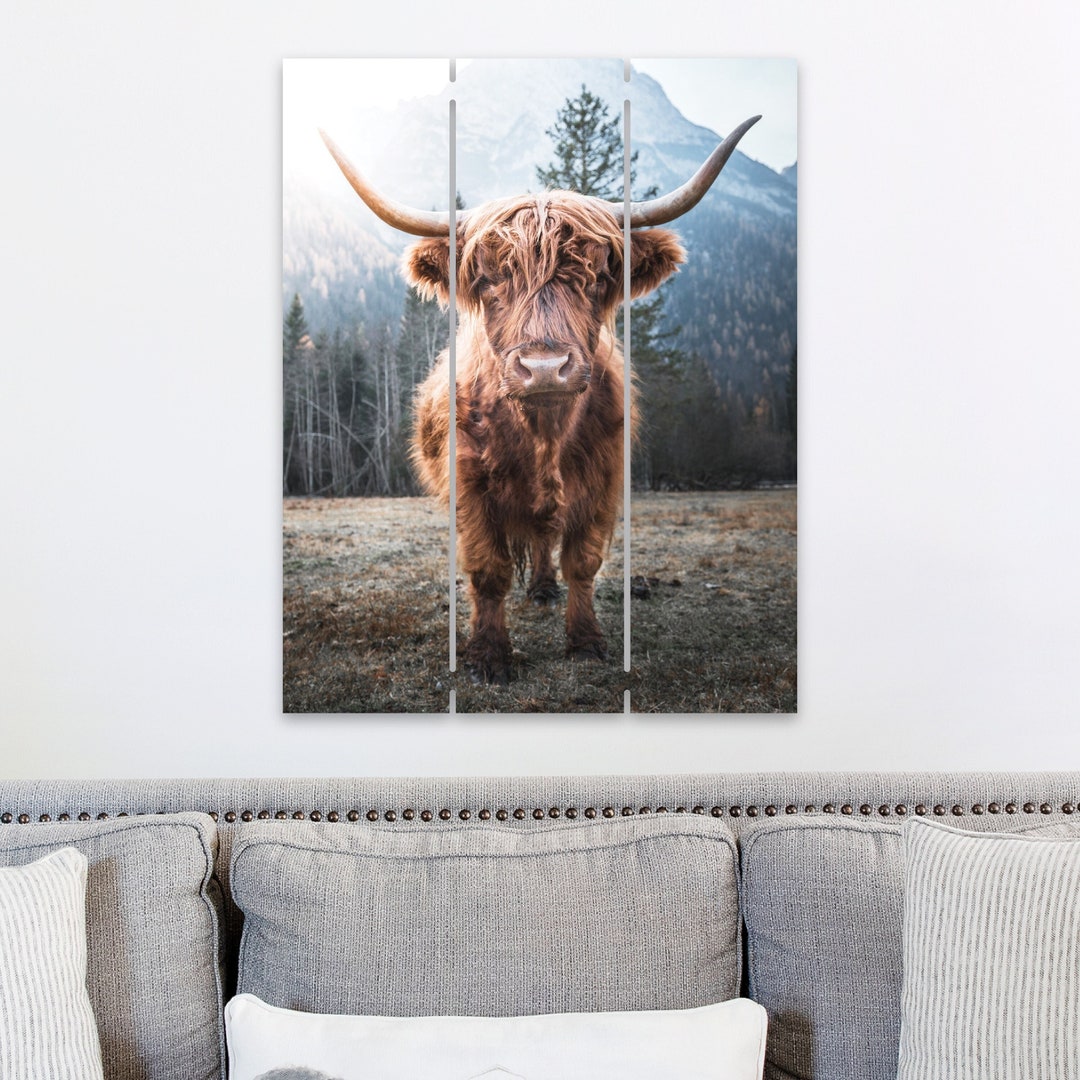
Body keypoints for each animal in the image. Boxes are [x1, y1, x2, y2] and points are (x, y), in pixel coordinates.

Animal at [320, 117, 760, 684]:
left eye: (598, 276)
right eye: (487, 278)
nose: (545, 368)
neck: (543, 433)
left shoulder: (603, 480)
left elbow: (583, 562)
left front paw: (587, 641)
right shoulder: (470, 485)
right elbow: (488, 570)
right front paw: (489, 655)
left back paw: (545, 589)